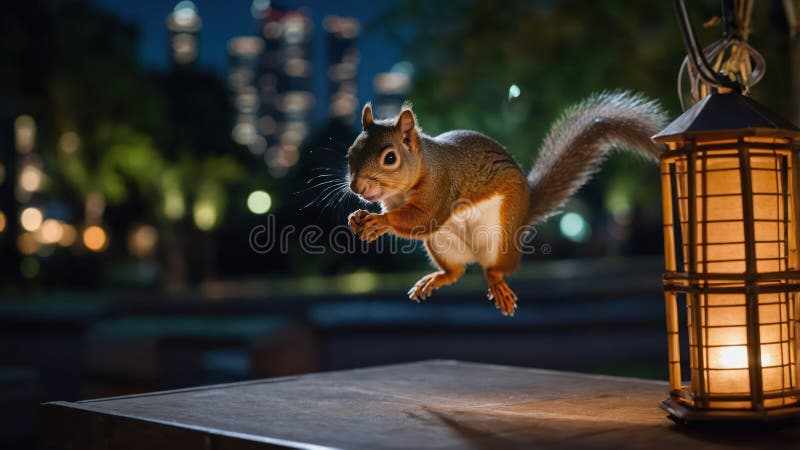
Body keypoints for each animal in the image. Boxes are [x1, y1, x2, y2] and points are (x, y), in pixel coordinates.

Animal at [346, 91, 666, 316]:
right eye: (350, 152)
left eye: (390, 158)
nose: (357, 187)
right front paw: (358, 220)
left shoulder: (440, 187)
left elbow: (422, 218)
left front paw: (380, 222)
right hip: (442, 245)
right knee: (456, 272)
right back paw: (437, 278)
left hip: (501, 235)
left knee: (497, 269)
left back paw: (497, 281)